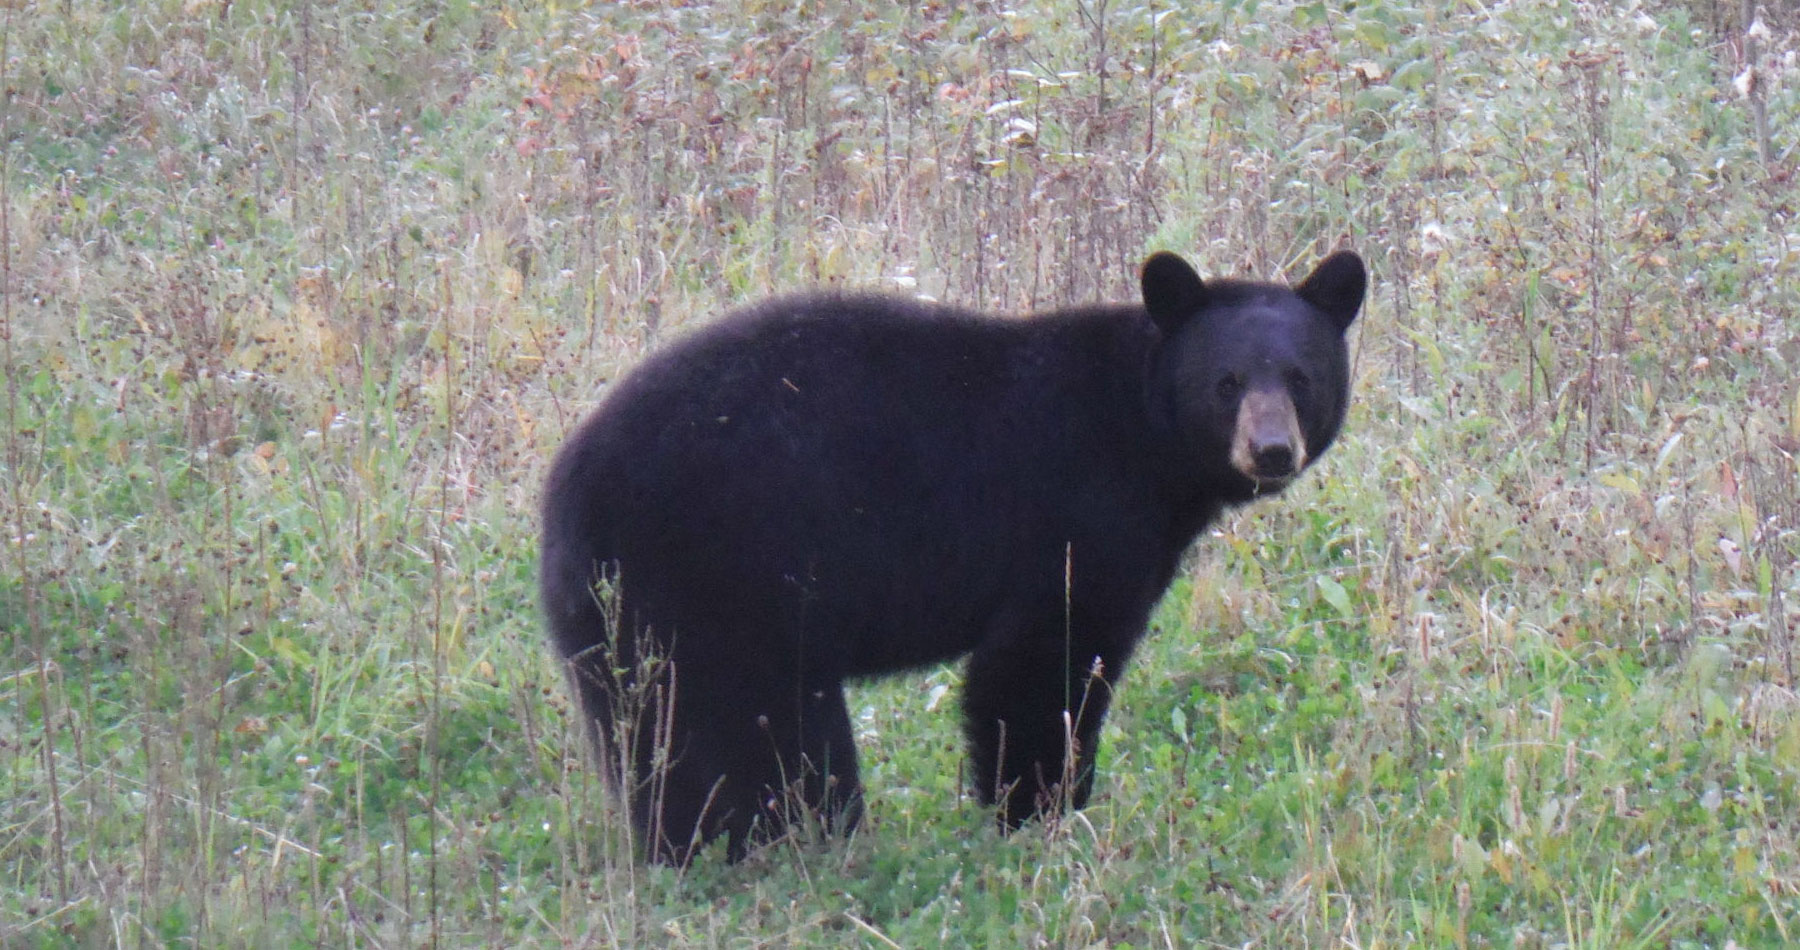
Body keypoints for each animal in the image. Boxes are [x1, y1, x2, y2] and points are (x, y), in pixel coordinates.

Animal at [539, 249, 1365, 863]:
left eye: (1300, 378)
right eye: (1227, 383)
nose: (1271, 450)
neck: (1140, 432)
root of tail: (565, 493)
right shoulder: (1077, 520)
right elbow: (1041, 663)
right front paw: (1043, 812)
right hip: (716, 579)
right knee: (745, 730)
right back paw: (772, 842)